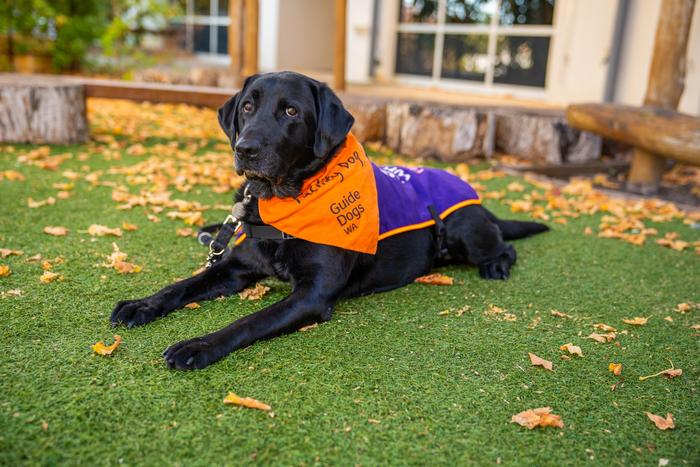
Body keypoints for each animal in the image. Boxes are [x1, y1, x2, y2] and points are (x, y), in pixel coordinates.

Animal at [110, 70, 548, 370]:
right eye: (247, 106)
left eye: (290, 111)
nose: (245, 149)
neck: (284, 203)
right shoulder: (234, 267)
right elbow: (180, 285)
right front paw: (141, 305)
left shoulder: (311, 294)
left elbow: (249, 321)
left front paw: (198, 345)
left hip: (463, 229)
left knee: (503, 246)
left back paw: (495, 265)